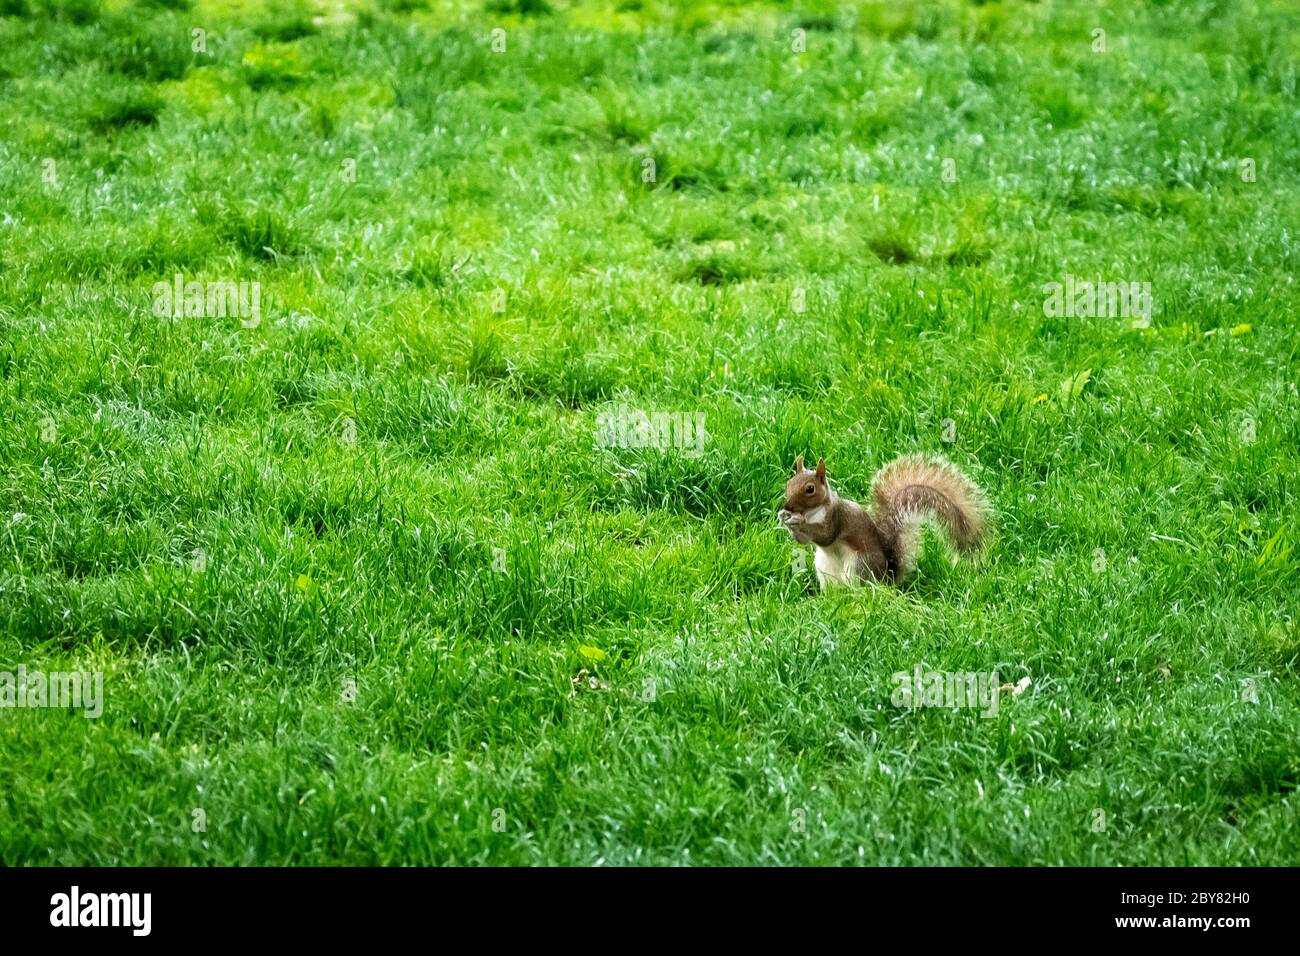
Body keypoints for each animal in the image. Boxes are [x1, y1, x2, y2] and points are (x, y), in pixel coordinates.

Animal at [778, 454, 991, 589]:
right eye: (789, 483)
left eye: (810, 489)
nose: (787, 506)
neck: (812, 512)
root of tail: (887, 579)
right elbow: (803, 541)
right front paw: (785, 518)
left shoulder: (836, 517)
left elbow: (826, 535)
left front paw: (797, 521)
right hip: (824, 568)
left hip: (859, 566)